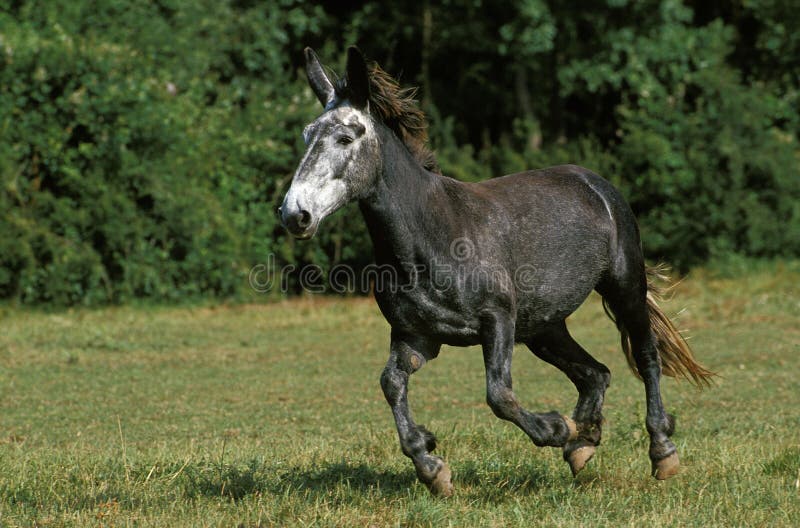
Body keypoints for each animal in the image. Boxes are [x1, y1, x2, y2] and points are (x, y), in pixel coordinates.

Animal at [279, 46, 713, 497]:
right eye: (307, 135)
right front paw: (432, 466)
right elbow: (392, 385)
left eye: (346, 138)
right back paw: (583, 444)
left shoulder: (497, 319)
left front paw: (556, 428)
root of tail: (597, 185)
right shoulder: (416, 337)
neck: (432, 236)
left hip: (623, 288)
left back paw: (660, 451)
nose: (295, 214)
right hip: (543, 327)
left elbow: (499, 394)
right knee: (595, 373)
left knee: (646, 358)